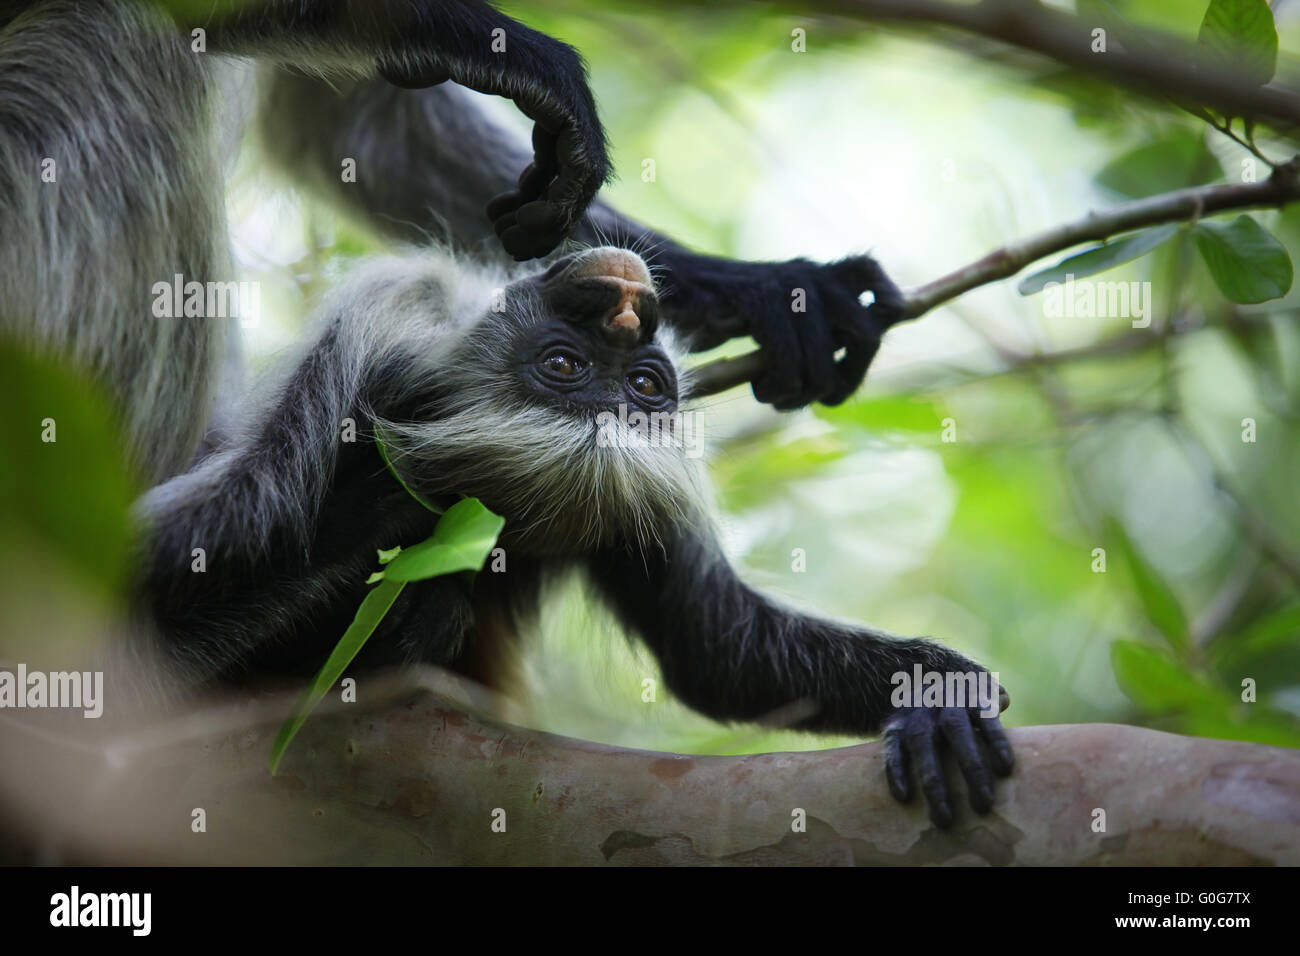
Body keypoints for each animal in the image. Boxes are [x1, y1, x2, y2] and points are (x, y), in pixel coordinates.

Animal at [0, 0, 1013, 826]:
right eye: (567, 366)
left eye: (641, 386)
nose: (622, 307)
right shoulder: (371, 348)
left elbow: (722, 656)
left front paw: (932, 693)